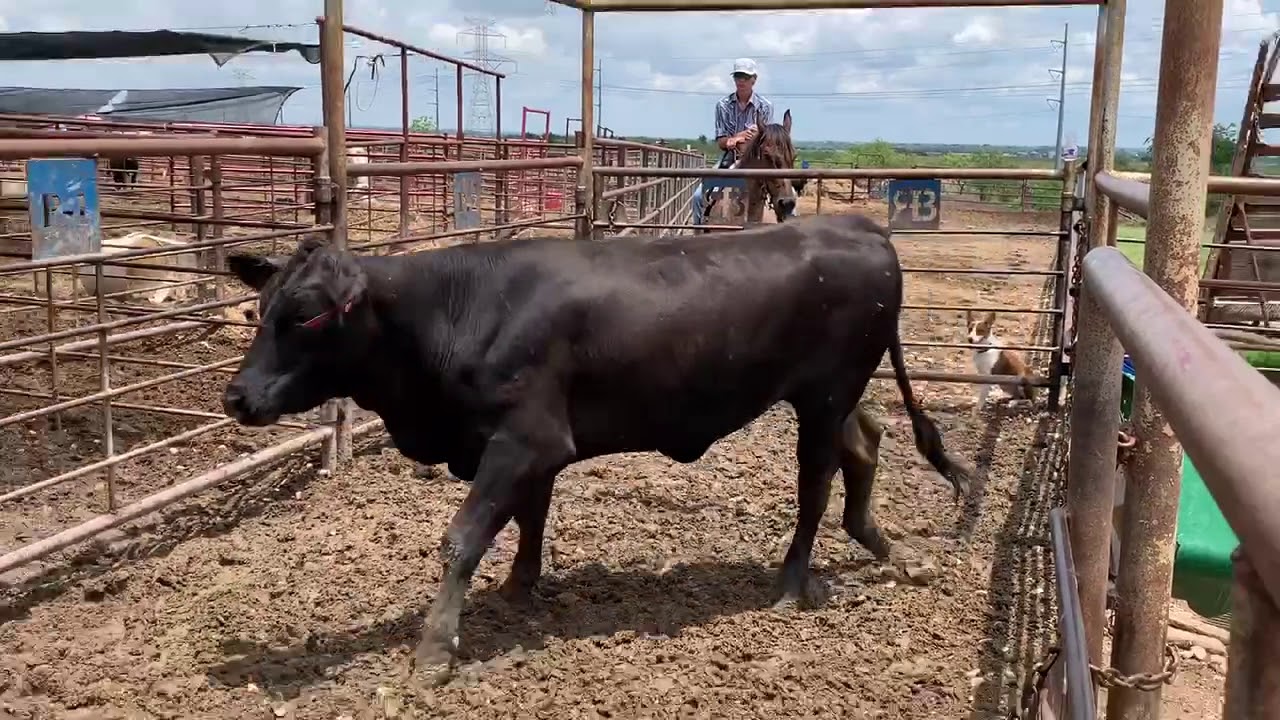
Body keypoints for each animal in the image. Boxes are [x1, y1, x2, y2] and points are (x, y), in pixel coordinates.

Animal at [220, 212, 973, 681]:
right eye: (261, 309)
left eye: (306, 316)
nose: (237, 397)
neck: (453, 310)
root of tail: (855, 224)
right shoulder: (531, 446)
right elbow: (530, 518)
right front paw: (520, 586)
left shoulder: (525, 438)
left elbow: (463, 537)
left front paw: (434, 649)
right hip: (836, 394)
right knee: (865, 444)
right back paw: (881, 543)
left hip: (822, 395)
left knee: (815, 483)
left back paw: (790, 584)